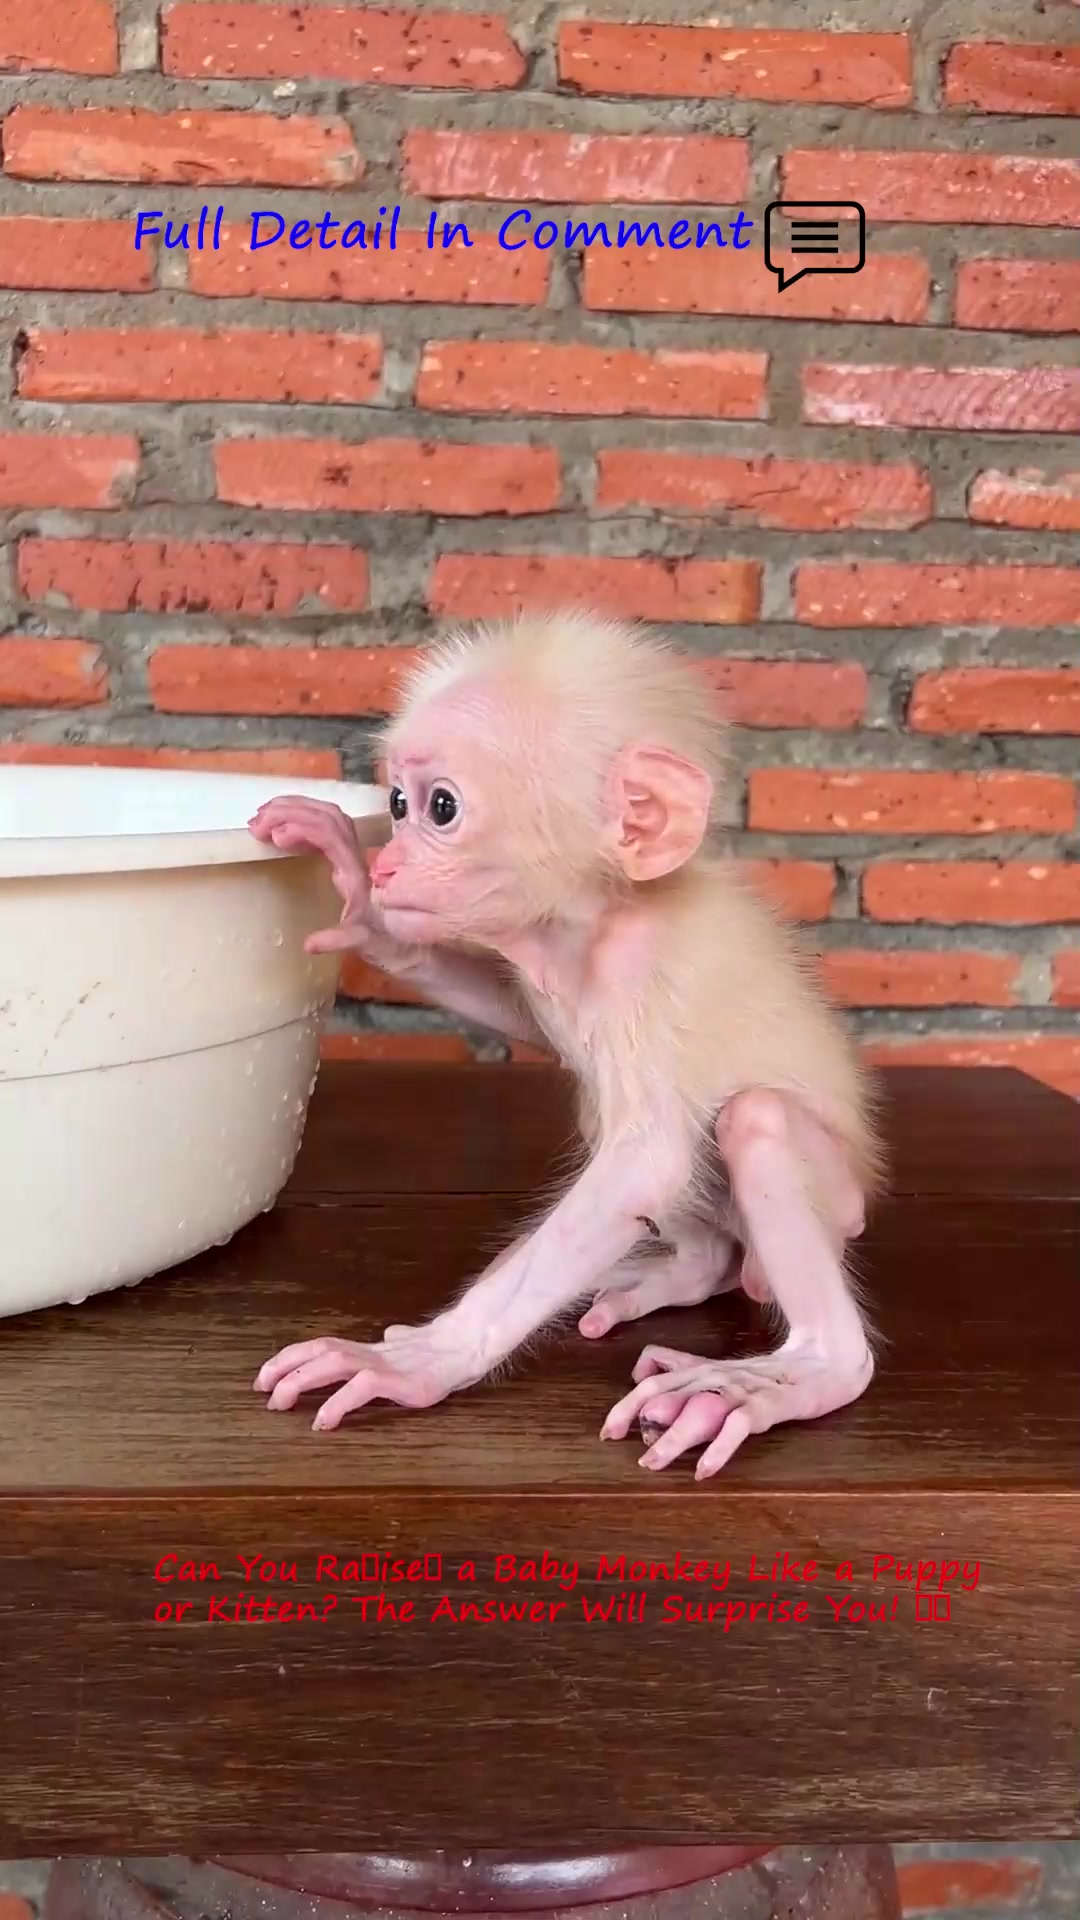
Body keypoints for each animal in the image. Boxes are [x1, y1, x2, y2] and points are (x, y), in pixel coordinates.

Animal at [248, 610, 885, 1479]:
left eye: (440, 808)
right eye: (396, 803)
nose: (387, 867)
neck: (596, 917)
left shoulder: (644, 967)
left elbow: (643, 1164)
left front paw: (426, 1360)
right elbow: (527, 1023)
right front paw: (365, 914)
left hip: (837, 1200)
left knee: (755, 1121)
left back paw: (813, 1368)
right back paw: (693, 1268)